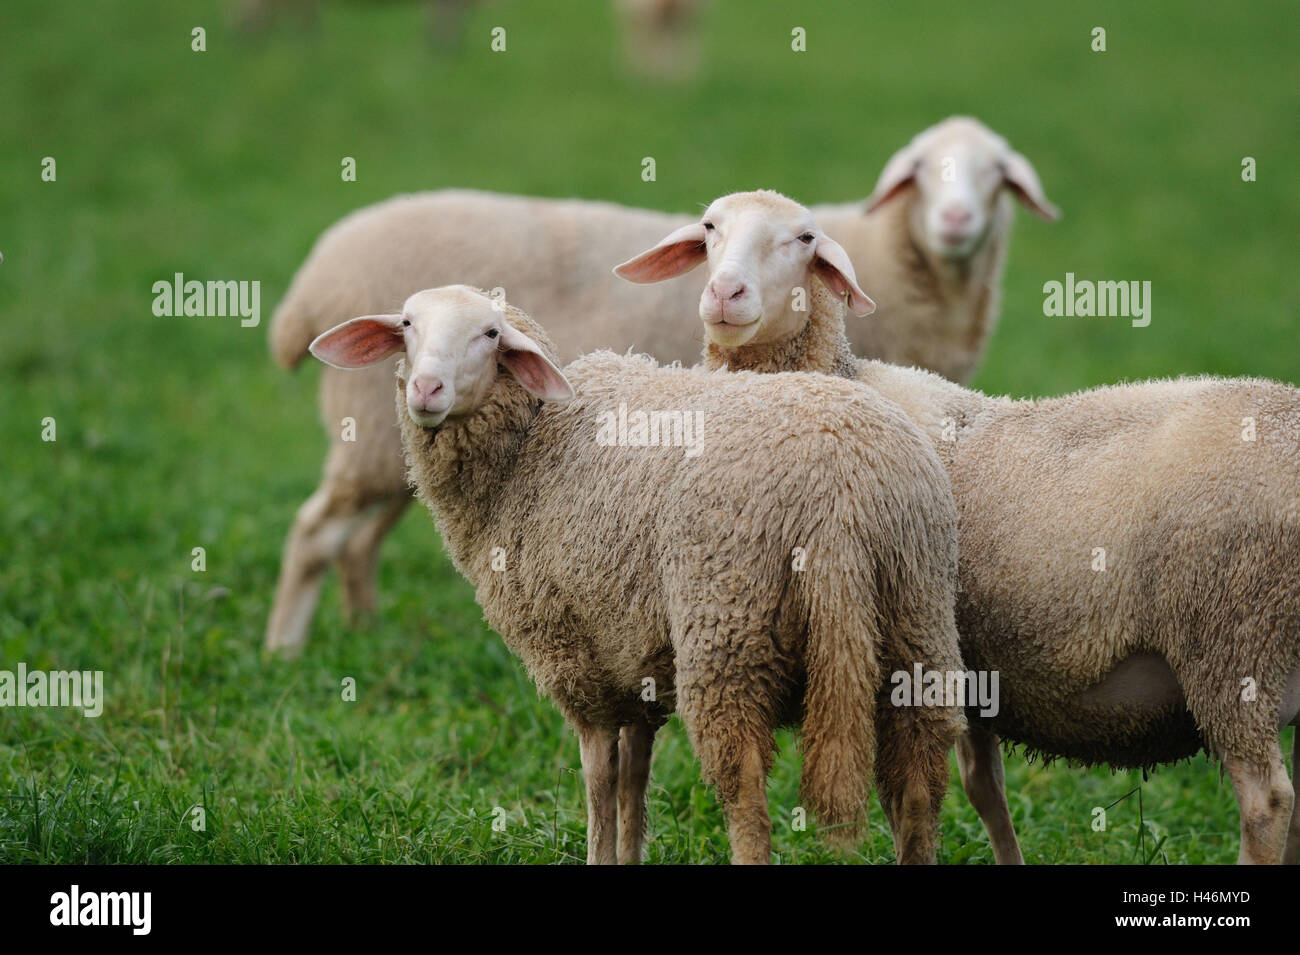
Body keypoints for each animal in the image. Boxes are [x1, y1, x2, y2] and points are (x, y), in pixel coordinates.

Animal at [264, 117, 1056, 655]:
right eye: (919, 170)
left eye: (997, 174)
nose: (956, 220)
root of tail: (311, 282)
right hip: (372, 426)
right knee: (313, 531)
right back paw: (285, 651)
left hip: (399, 437)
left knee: (358, 539)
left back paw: (363, 628)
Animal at [305, 284, 967, 864]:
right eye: (407, 324)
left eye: (490, 334)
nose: (426, 388)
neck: (530, 448)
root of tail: (840, 486)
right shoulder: (635, 657)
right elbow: (635, 776)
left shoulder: (577, 656)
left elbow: (600, 777)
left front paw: (600, 854)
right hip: (915, 617)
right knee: (919, 785)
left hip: (727, 630)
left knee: (747, 797)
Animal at [617, 189, 1300, 865]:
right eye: (710, 228)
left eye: (805, 239)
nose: (725, 294)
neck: (838, 378)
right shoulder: (965, 668)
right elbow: (980, 784)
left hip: (1231, 636)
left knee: (1268, 801)